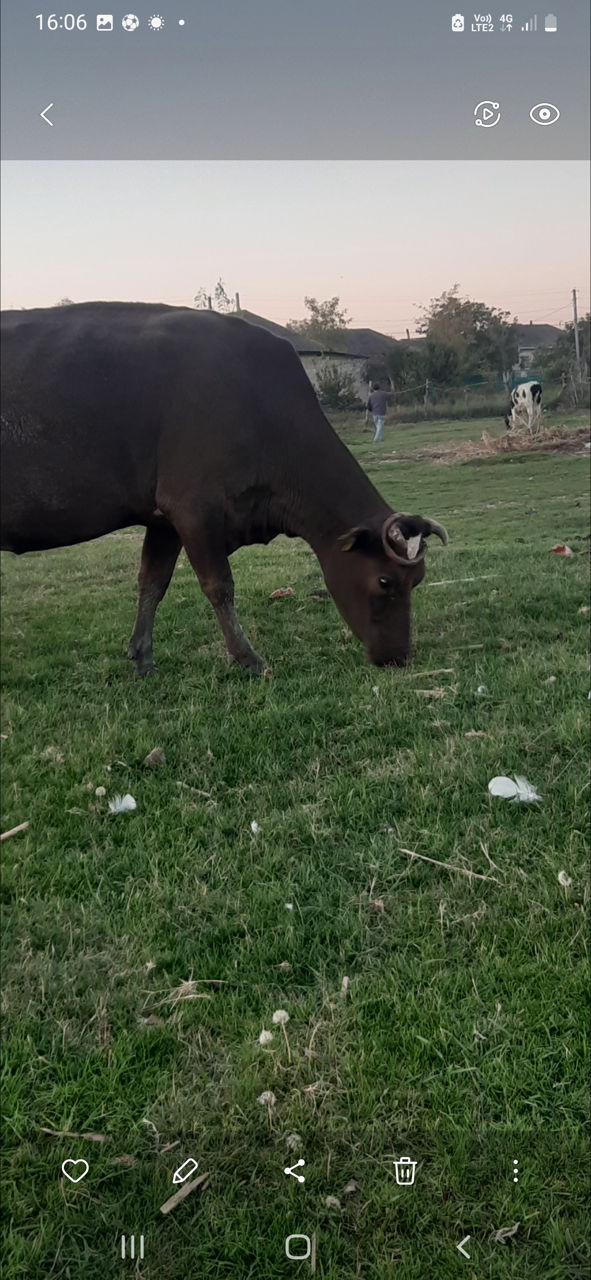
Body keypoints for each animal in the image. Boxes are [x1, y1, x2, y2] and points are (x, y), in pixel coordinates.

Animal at [1, 302, 449, 673]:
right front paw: (247, 658)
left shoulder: (162, 517)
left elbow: (152, 582)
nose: (398, 658)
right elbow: (219, 586)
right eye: (385, 582)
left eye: (418, 580)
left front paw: (142, 656)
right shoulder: (192, 508)